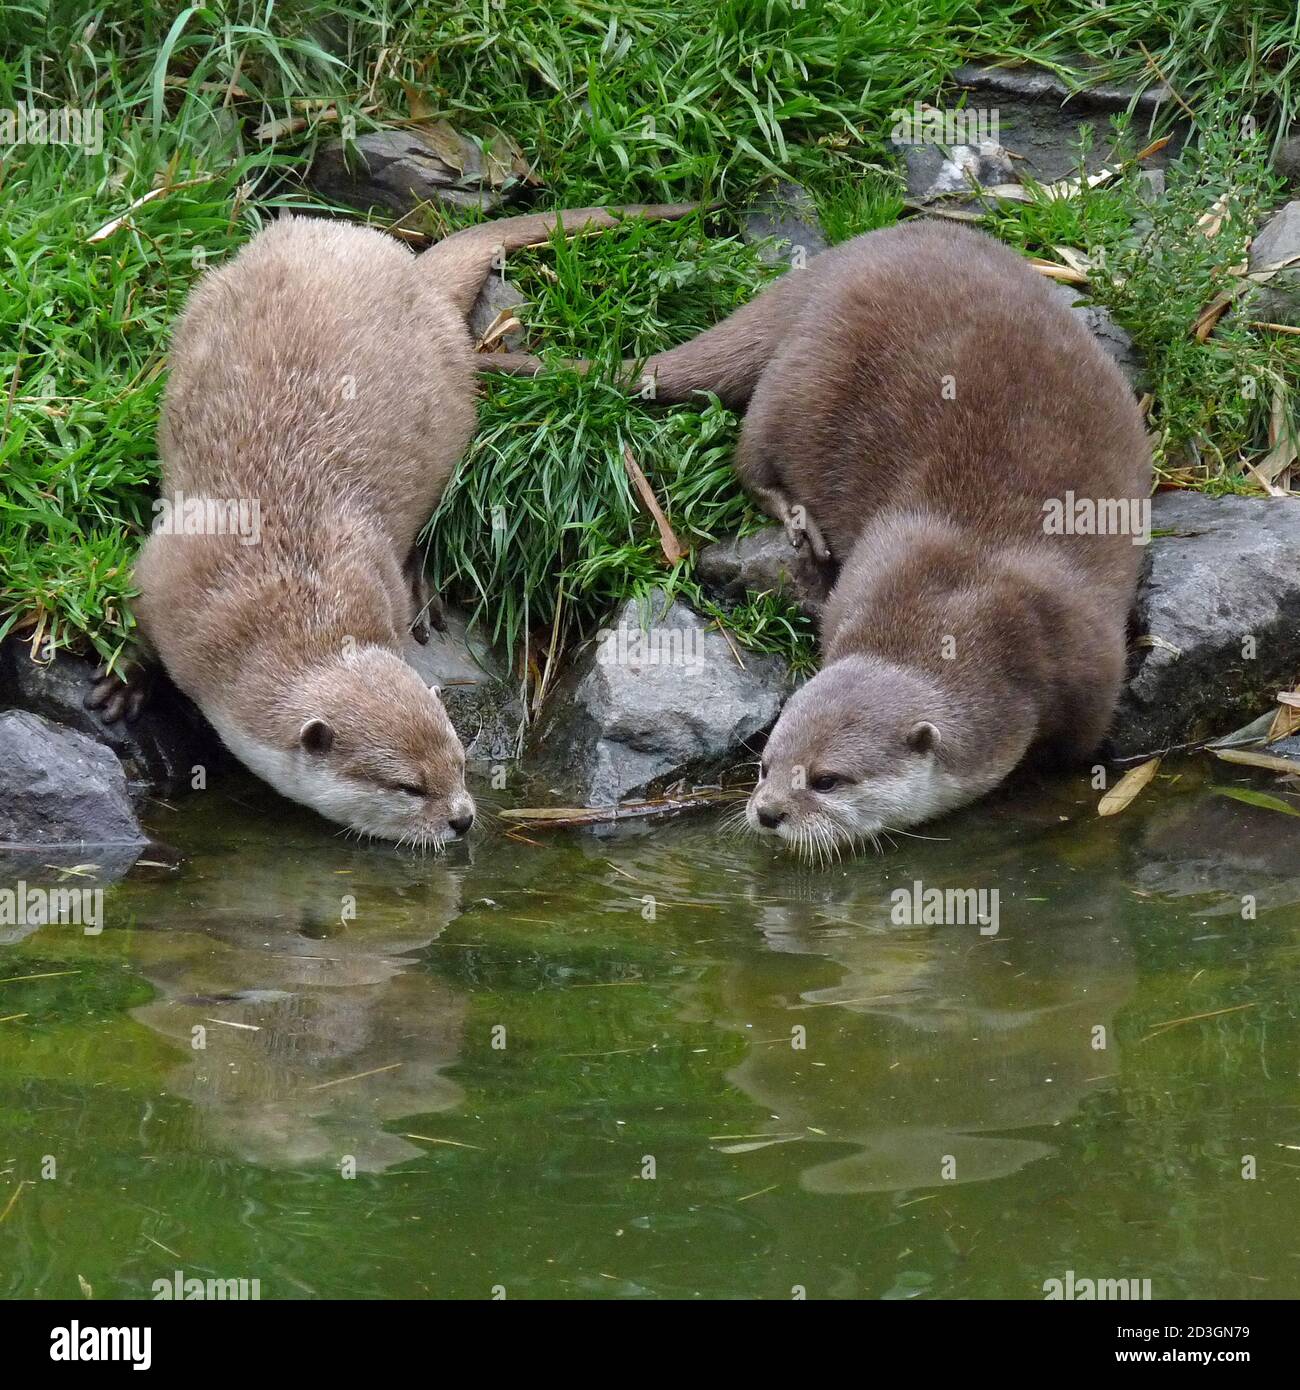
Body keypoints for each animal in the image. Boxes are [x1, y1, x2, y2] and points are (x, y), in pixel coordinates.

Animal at [89, 202, 694, 846]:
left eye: (460, 762)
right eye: (408, 787)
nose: (461, 818)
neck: (280, 595)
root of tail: (408, 266)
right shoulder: (170, 573)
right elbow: (137, 613)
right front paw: (124, 681)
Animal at [486, 220, 1150, 855]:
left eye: (828, 780)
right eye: (763, 766)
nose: (768, 812)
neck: (965, 599)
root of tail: (832, 265)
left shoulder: (1089, 668)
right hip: (803, 379)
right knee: (750, 454)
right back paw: (797, 518)